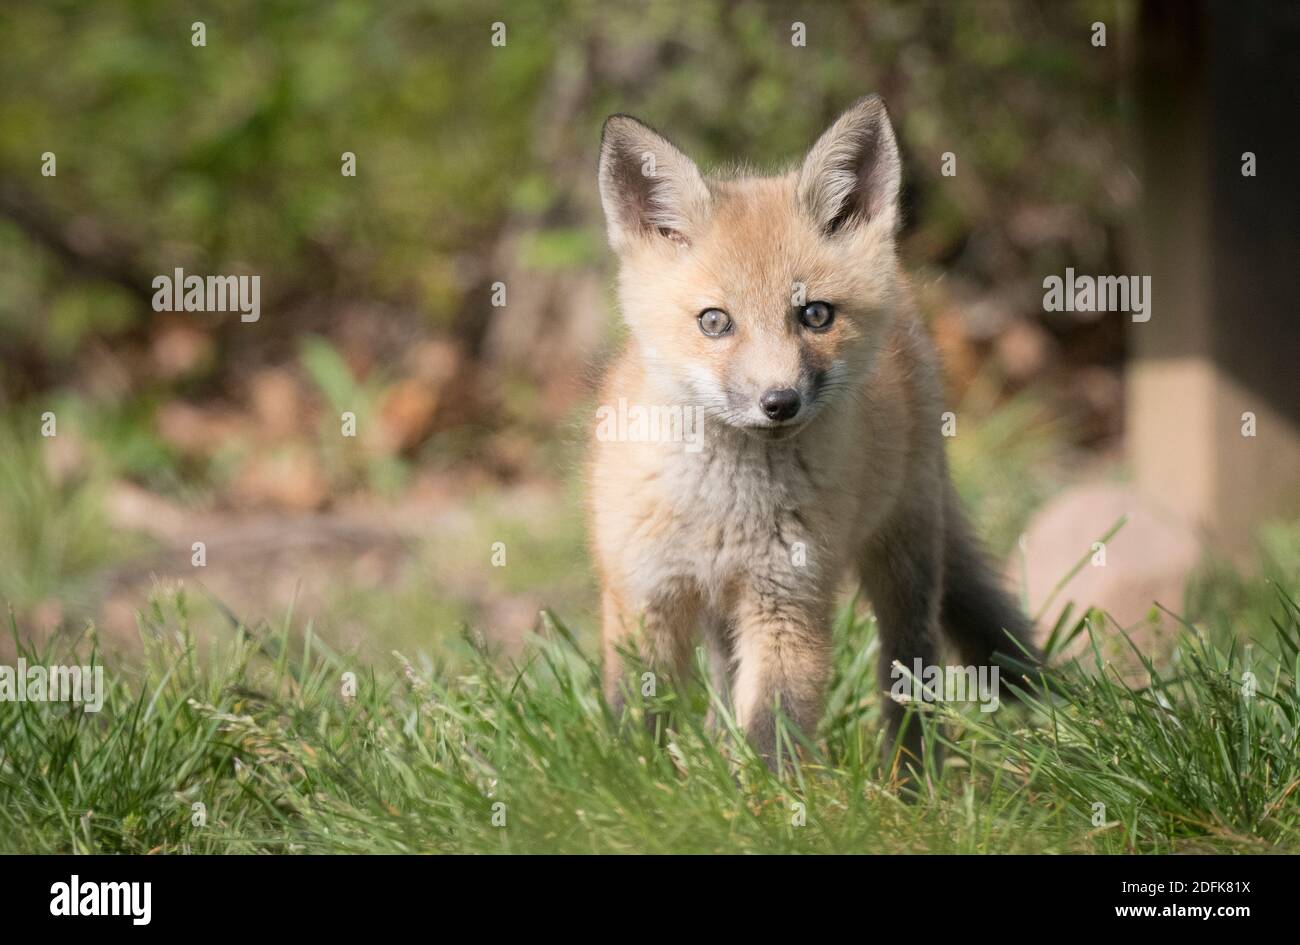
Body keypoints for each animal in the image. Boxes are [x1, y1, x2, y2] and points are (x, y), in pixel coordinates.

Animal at [587, 95, 1037, 771]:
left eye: (815, 315)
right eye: (715, 322)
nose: (779, 402)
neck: (726, 507)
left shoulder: (789, 603)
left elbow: (773, 731)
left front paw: (761, 796)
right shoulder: (645, 599)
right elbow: (636, 722)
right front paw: (635, 784)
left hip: (905, 554)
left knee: (911, 673)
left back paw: (912, 776)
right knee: (723, 685)